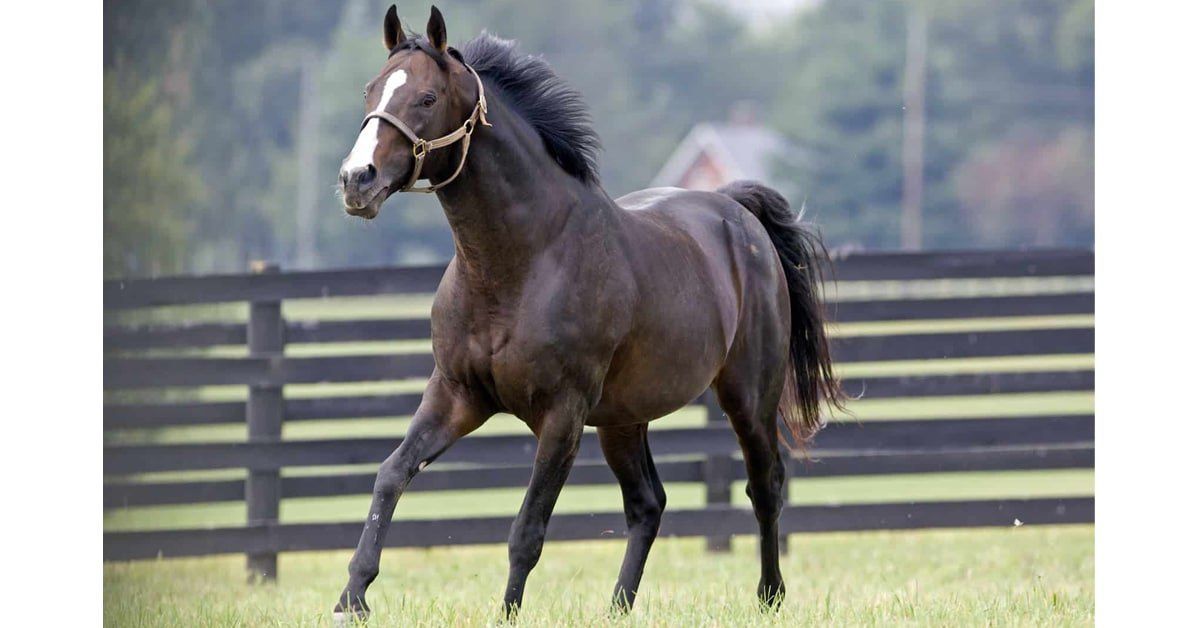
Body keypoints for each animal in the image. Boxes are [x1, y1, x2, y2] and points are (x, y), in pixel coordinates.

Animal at [333, 5, 843, 621]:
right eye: (370, 90)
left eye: (427, 97)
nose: (356, 180)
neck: (520, 264)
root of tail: (735, 210)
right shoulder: (457, 395)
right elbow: (390, 475)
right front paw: (352, 598)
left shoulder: (562, 414)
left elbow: (527, 529)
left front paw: (505, 614)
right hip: (624, 418)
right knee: (648, 504)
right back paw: (618, 608)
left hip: (748, 395)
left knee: (765, 485)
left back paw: (769, 597)